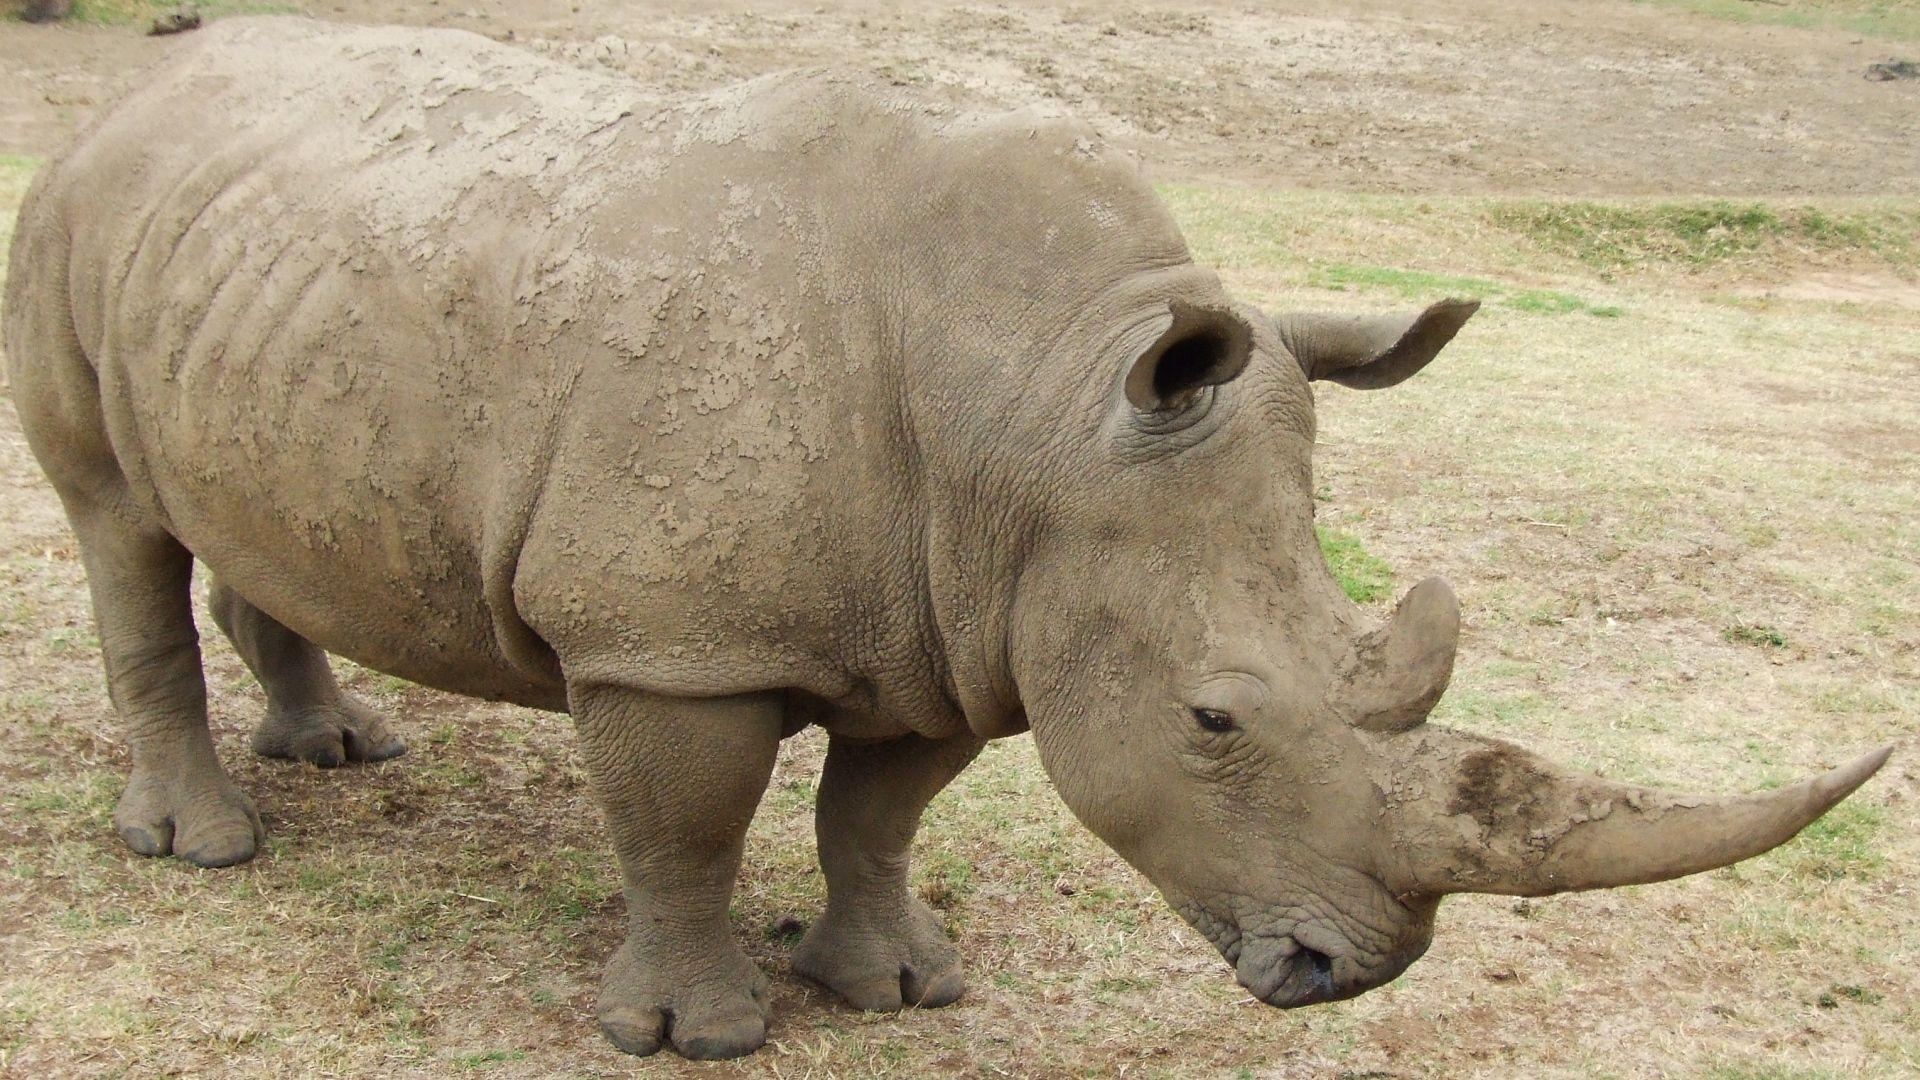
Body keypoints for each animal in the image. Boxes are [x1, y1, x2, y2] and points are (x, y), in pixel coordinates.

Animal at [4, 18, 1891, 1061]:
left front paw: (899, 992)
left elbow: (877, 812)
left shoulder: (956, 614)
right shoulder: (667, 641)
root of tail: (143, 89)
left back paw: (338, 749)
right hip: (73, 218)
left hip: (257, 259)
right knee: (116, 522)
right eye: (1216, 720)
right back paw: (206, 849)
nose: (1346, 973)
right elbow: (685, 830)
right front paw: (693, 1035)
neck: (1039, 406)